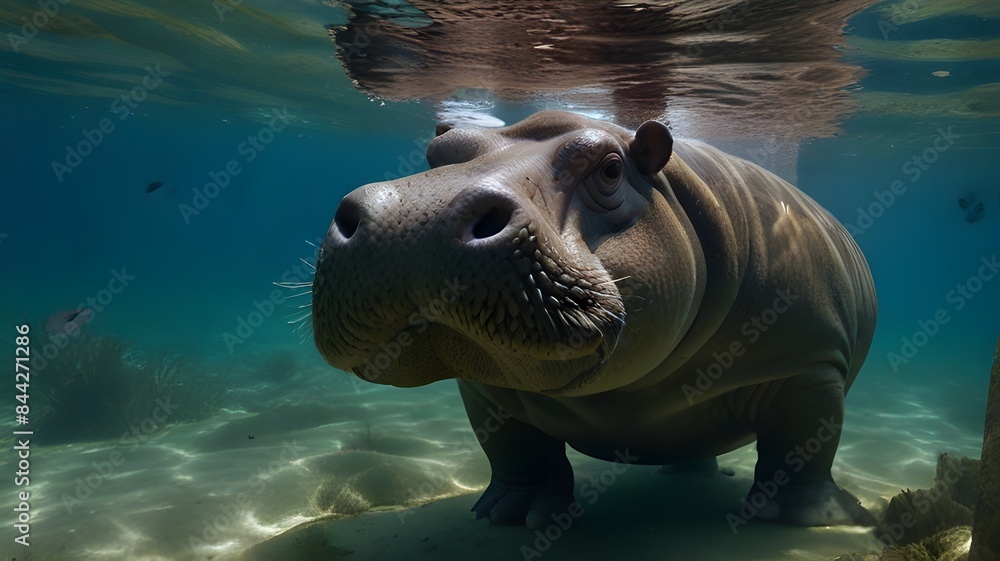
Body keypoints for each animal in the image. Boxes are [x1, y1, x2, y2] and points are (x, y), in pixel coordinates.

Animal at [311, 110, 877, 530]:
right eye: (436, 154)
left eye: (610, 169)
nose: (410, 219)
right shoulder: (483, 389)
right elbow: (514, 448)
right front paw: (507, 515)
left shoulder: (807, 364)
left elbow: (802, 442)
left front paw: (808, 519)